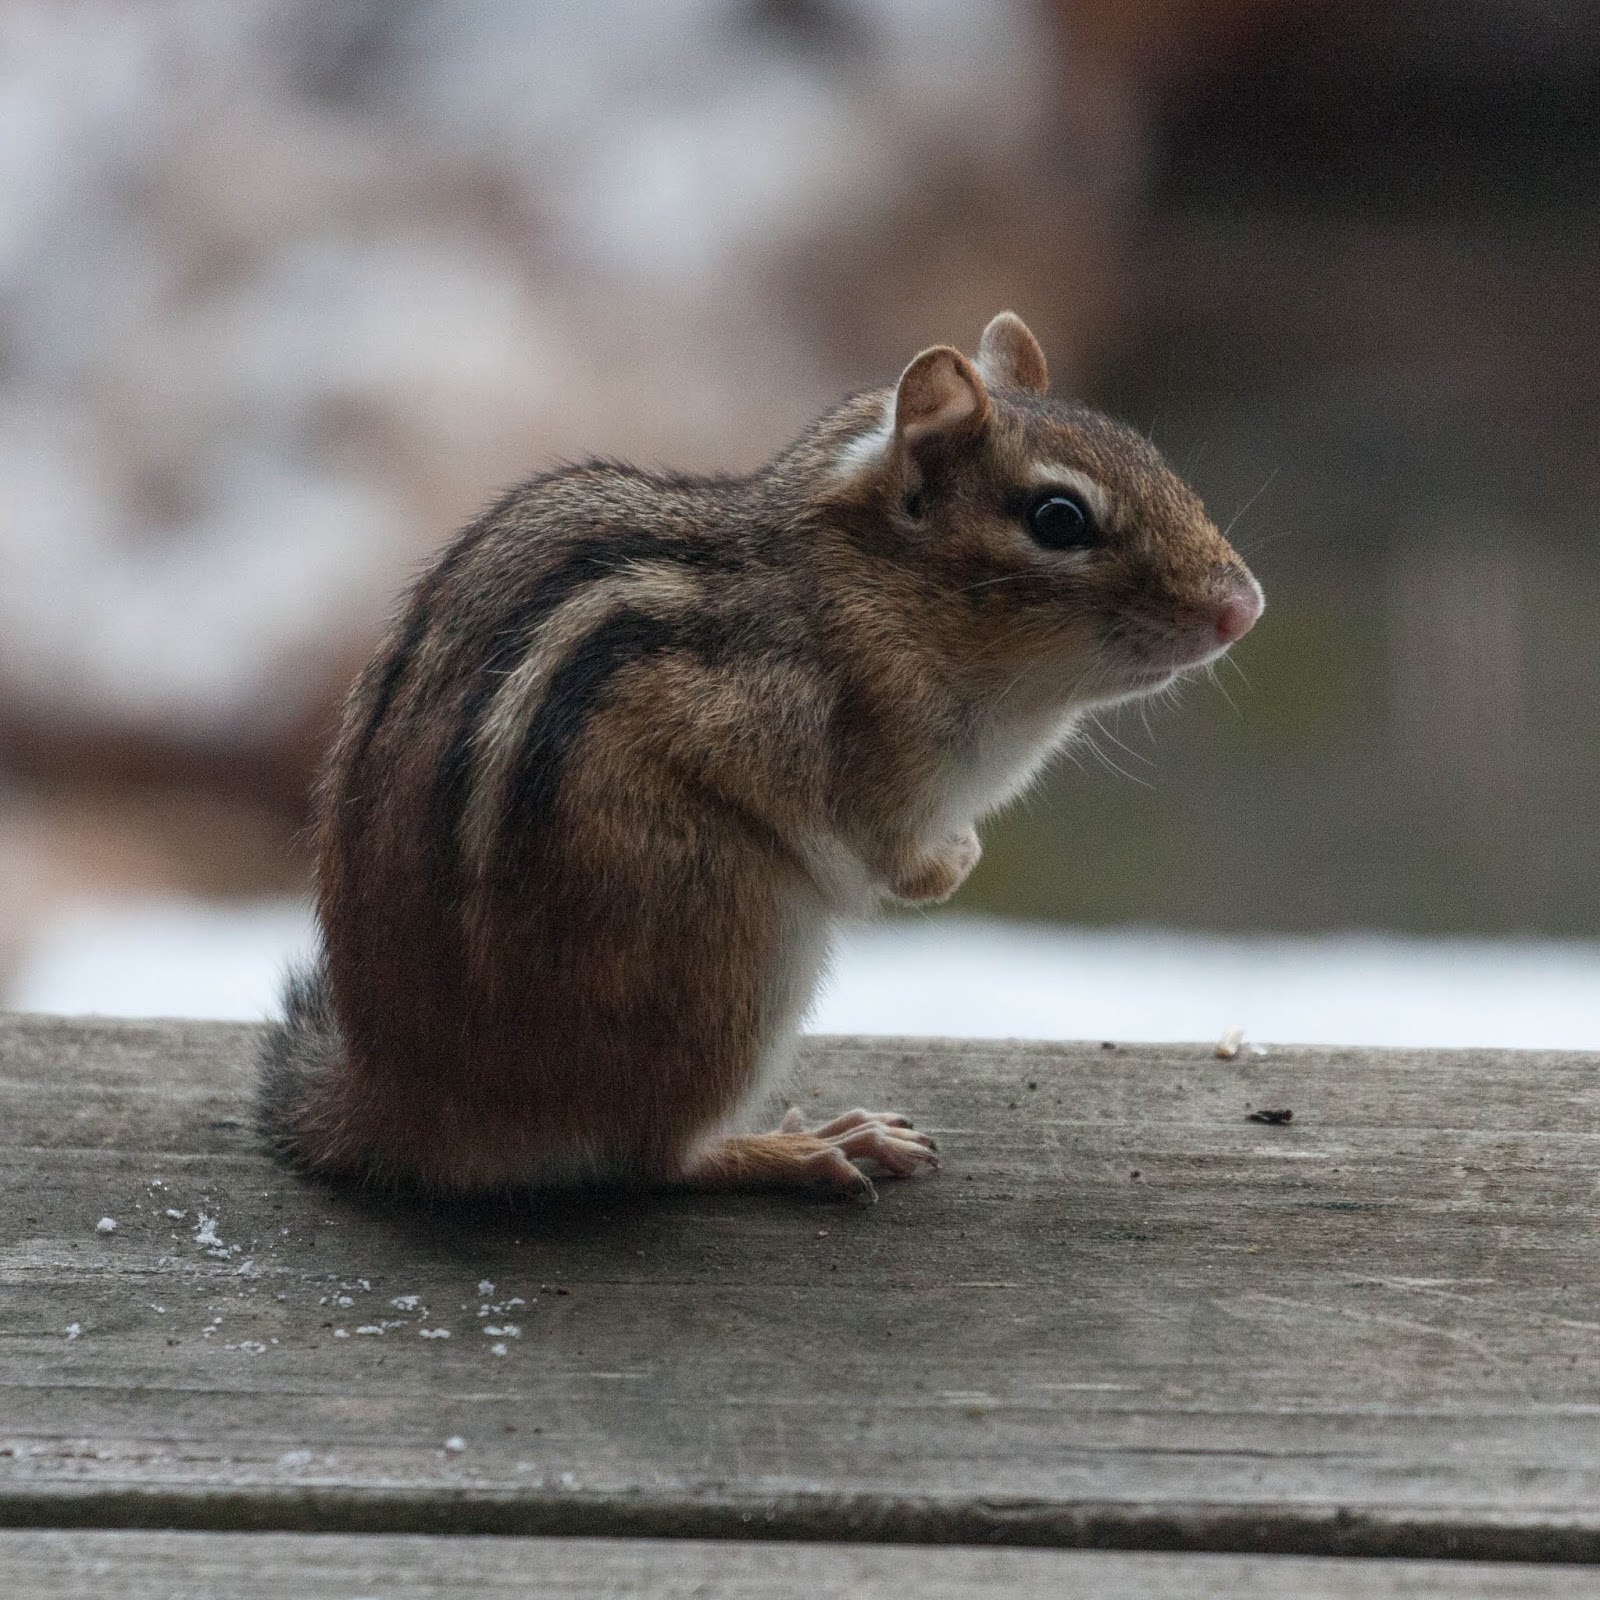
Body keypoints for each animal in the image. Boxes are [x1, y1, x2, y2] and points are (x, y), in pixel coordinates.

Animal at [258, 312, 1262, 1202]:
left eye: (1155, 463)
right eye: (1059, 518)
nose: (1243, 607)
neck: (877, 586)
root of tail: (403, 1103)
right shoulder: (877, 760)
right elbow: (894, 857)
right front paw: (953, 863)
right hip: (727, 950)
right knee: (653, 1158)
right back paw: (808, 1149)